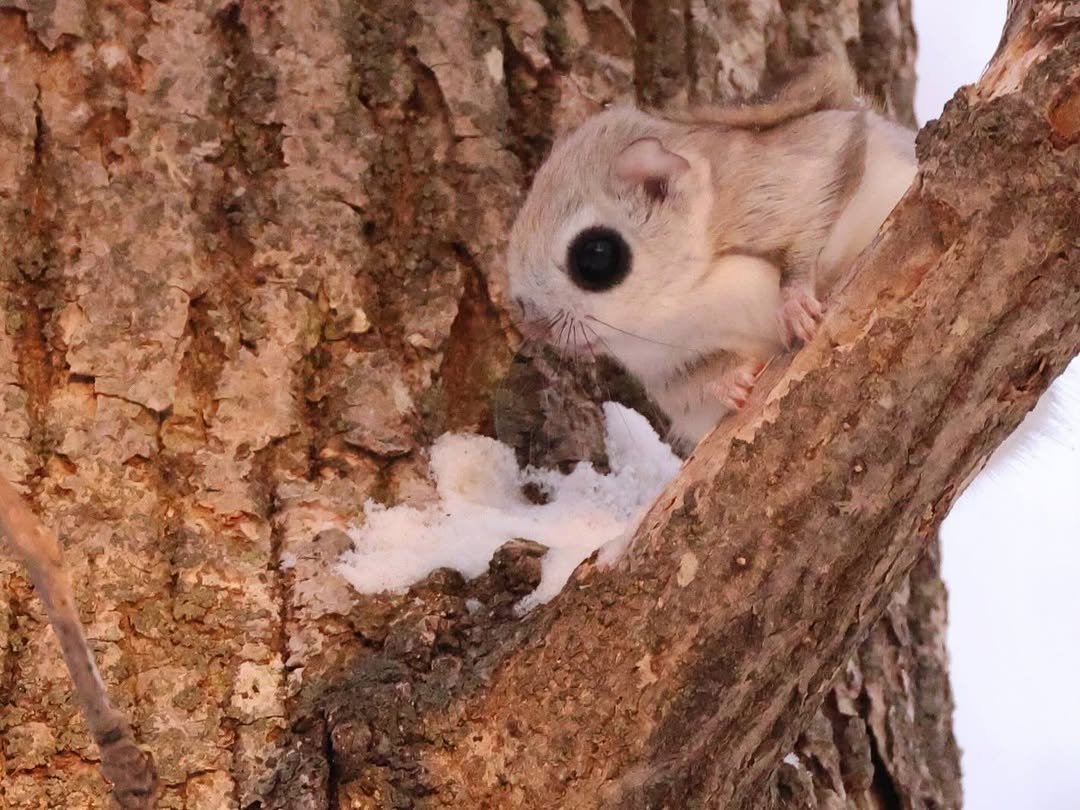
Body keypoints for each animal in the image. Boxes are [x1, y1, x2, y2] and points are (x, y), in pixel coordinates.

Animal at [506, 55, 917, 448]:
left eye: (595, 256)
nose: (533, 323)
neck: (684, 298)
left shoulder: (794, 175)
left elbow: (812, 231)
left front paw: (795, 304)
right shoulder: (667, 369)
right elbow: (695, 384)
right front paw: (728, 380)